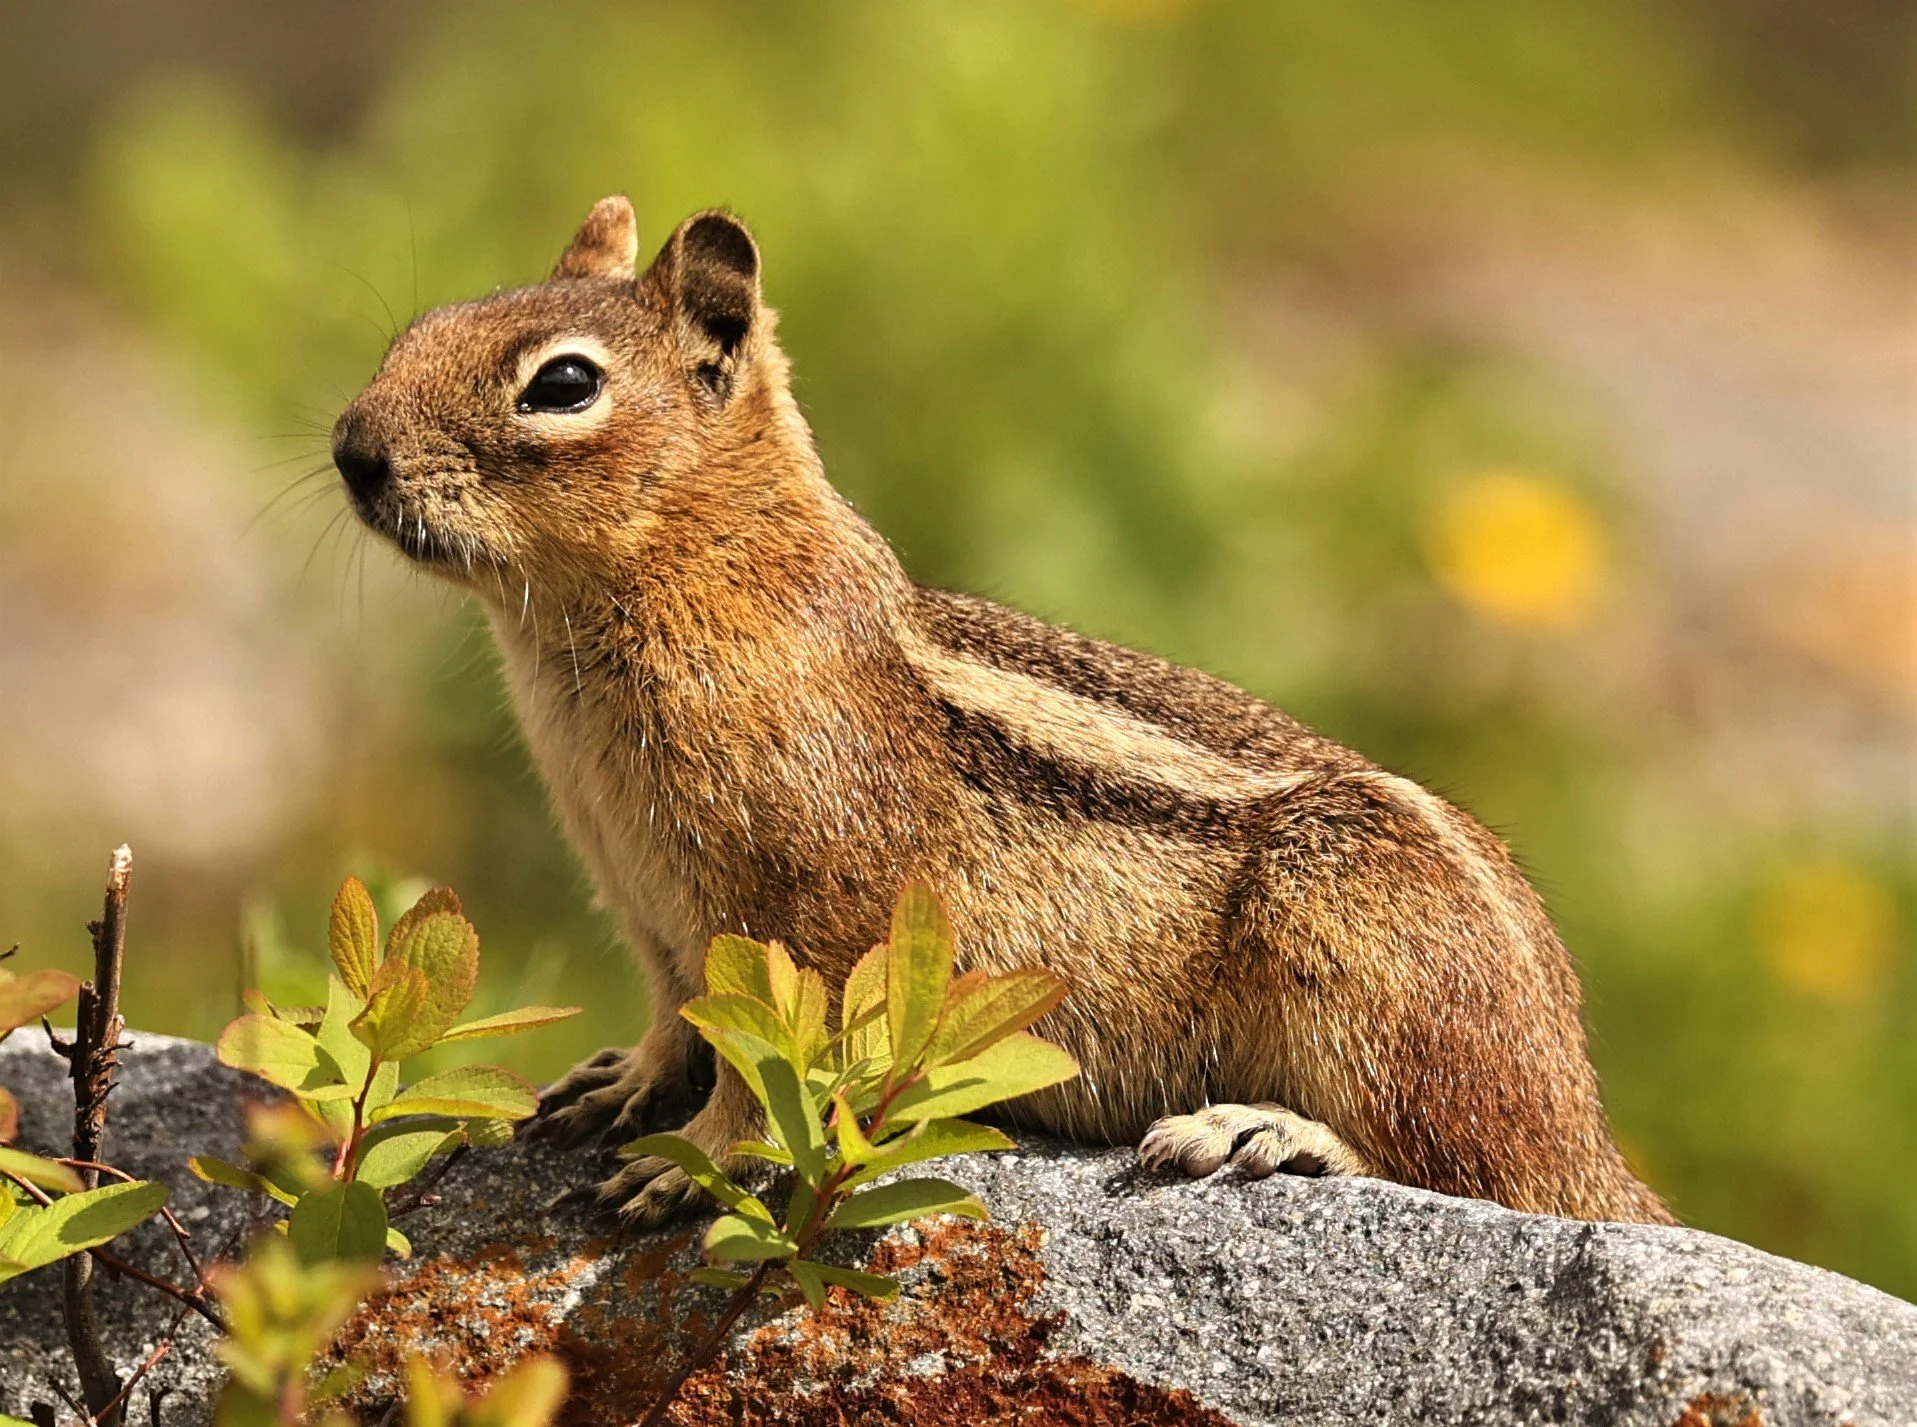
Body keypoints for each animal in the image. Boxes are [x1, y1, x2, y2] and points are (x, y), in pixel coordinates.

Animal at [332, 195, 1673, 1230]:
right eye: (417, 332)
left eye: (562, 383)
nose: (352, 446)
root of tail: (1585, 1122)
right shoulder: (650, 912)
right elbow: (677, 1021)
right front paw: (617, 1084)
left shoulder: (802, 913)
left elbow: (768, 1059)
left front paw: (696, 1164)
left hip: (1377, 960)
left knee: (1470, 1167)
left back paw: (1260, 1132)